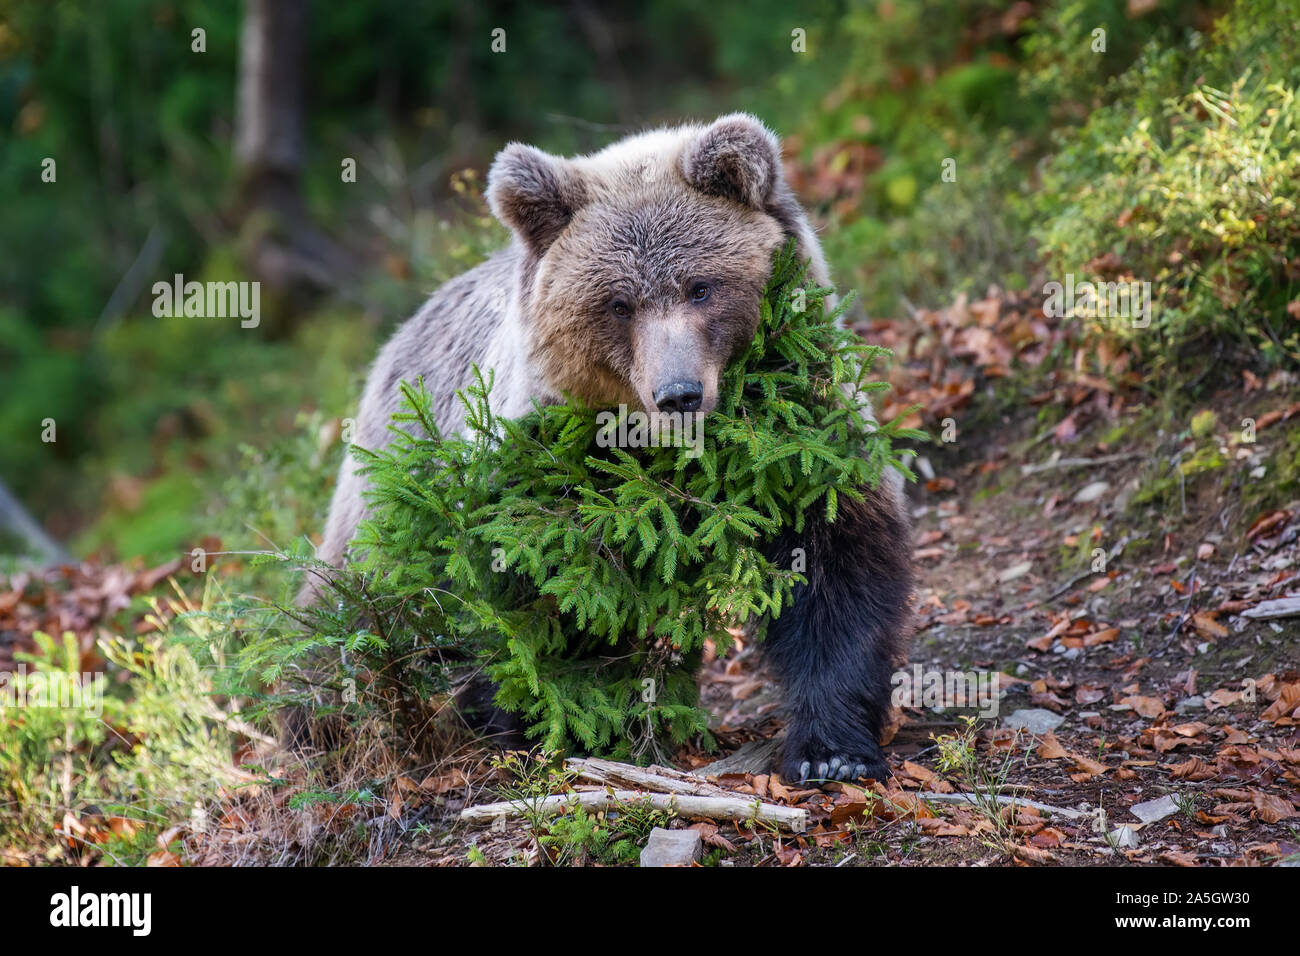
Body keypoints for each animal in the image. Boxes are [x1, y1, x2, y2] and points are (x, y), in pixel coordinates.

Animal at [303, 114, 914, 783]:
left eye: (701, 287)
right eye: (619, 304)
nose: (679, 393)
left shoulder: (802, 440)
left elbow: (837, 567)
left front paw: (832, 753)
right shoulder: (538, 475)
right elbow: (539, 604)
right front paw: (560, 721)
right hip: (396, 480)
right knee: (350, 604)